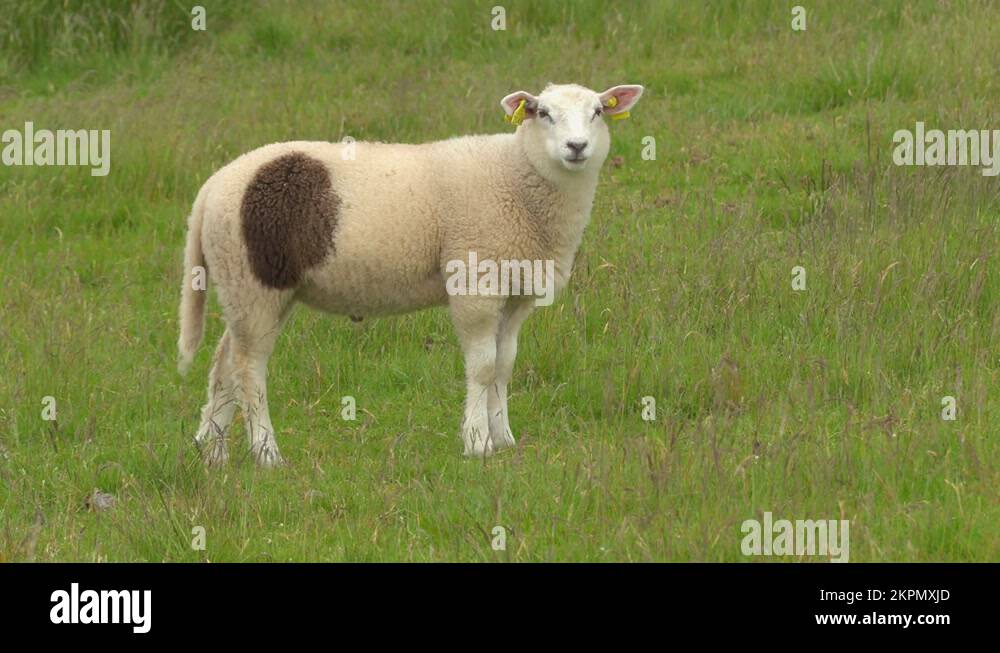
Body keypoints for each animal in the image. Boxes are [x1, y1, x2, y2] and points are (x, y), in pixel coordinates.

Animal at [177, 82, 644, 466]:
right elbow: (482, 366)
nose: (577, 146)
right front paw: (477, 442)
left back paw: (211, 449)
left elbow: (504, 364)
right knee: (249, 368)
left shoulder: (515, 292)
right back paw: (266, 453)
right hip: (253, 281)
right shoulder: (475, 281)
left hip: (250, 287)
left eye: (598, 112)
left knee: (225, 362)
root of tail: (212, 188)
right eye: (543, 113)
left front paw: (504, 438)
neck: (517, 177)